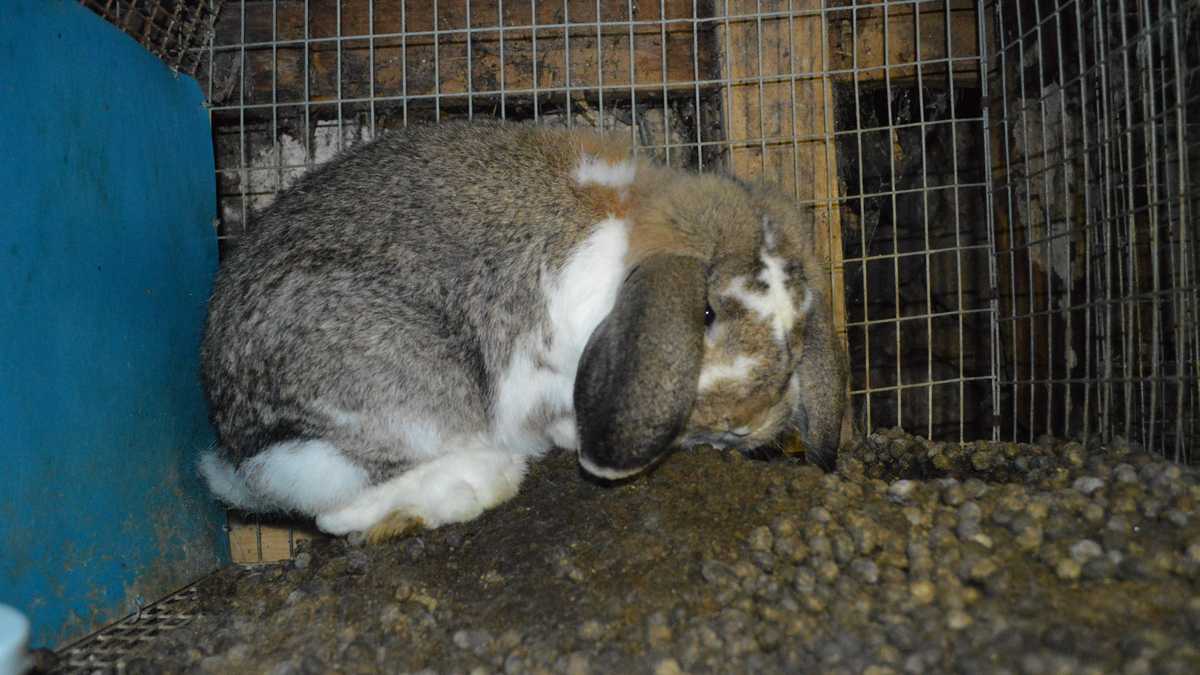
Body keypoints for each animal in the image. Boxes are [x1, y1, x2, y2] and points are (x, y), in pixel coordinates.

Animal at [198, 119, 853, 542]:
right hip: (416, 391)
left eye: (798, 340)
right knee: (339, 513)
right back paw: (481, 482)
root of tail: (243, 454)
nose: (745, 422)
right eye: (708, 314)